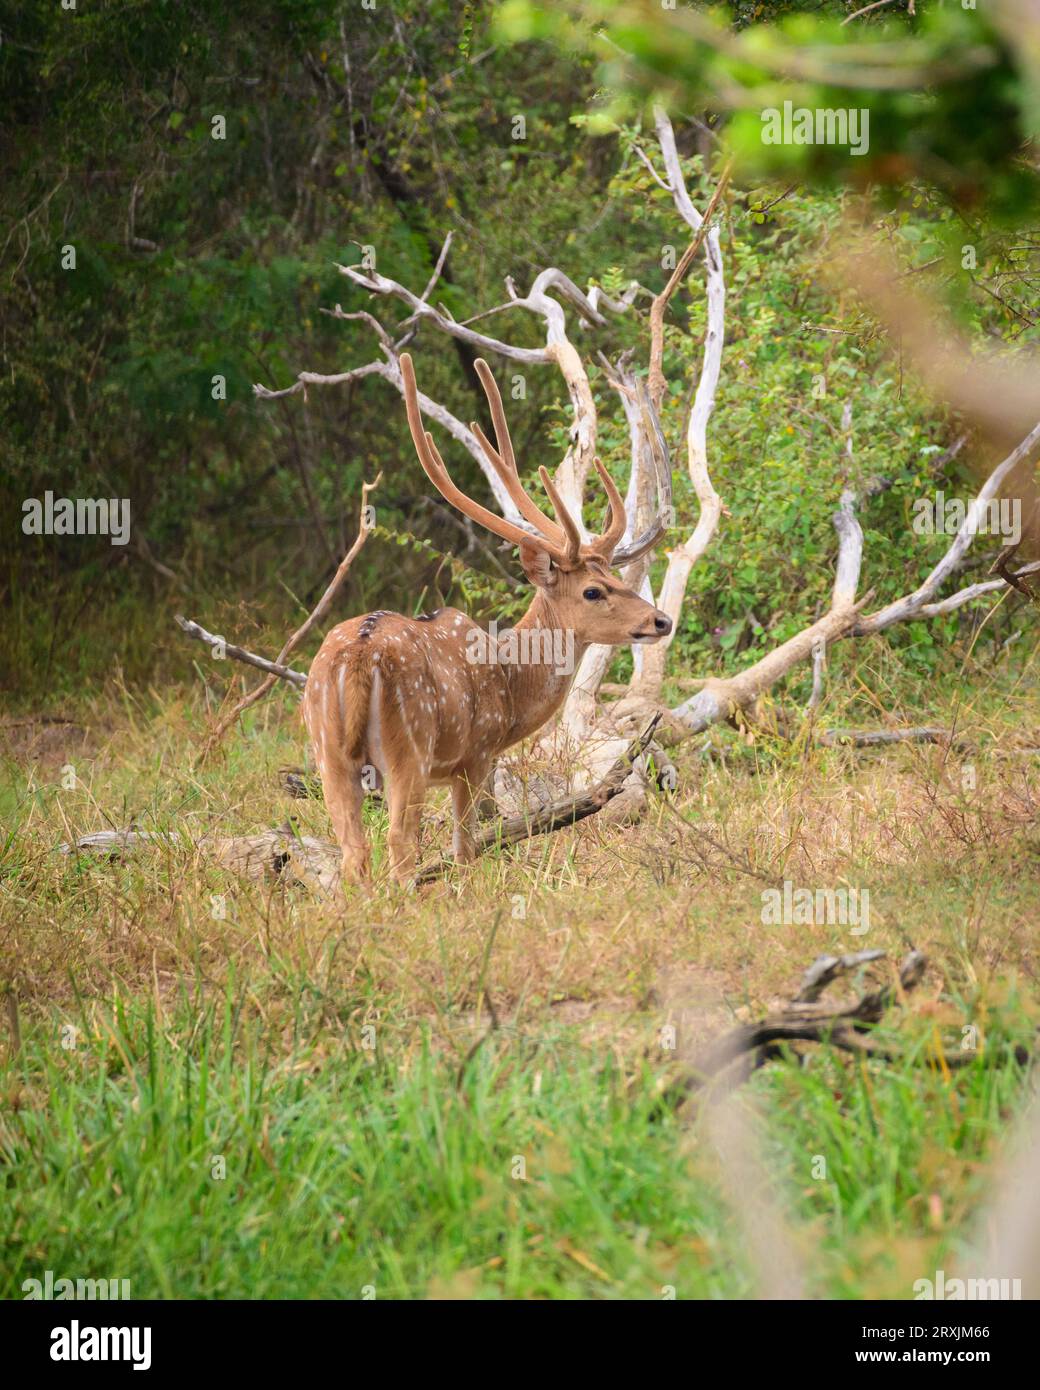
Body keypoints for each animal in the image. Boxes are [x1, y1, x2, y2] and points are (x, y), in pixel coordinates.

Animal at [302, 351, 672, 885]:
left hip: (326, 749)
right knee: (399, 843)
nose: (661, 621)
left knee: (353, 852)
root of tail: (354, 659)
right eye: (593, 590)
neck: (510, 681)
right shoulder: (477, 754)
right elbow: (467, 848)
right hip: (408, 748)